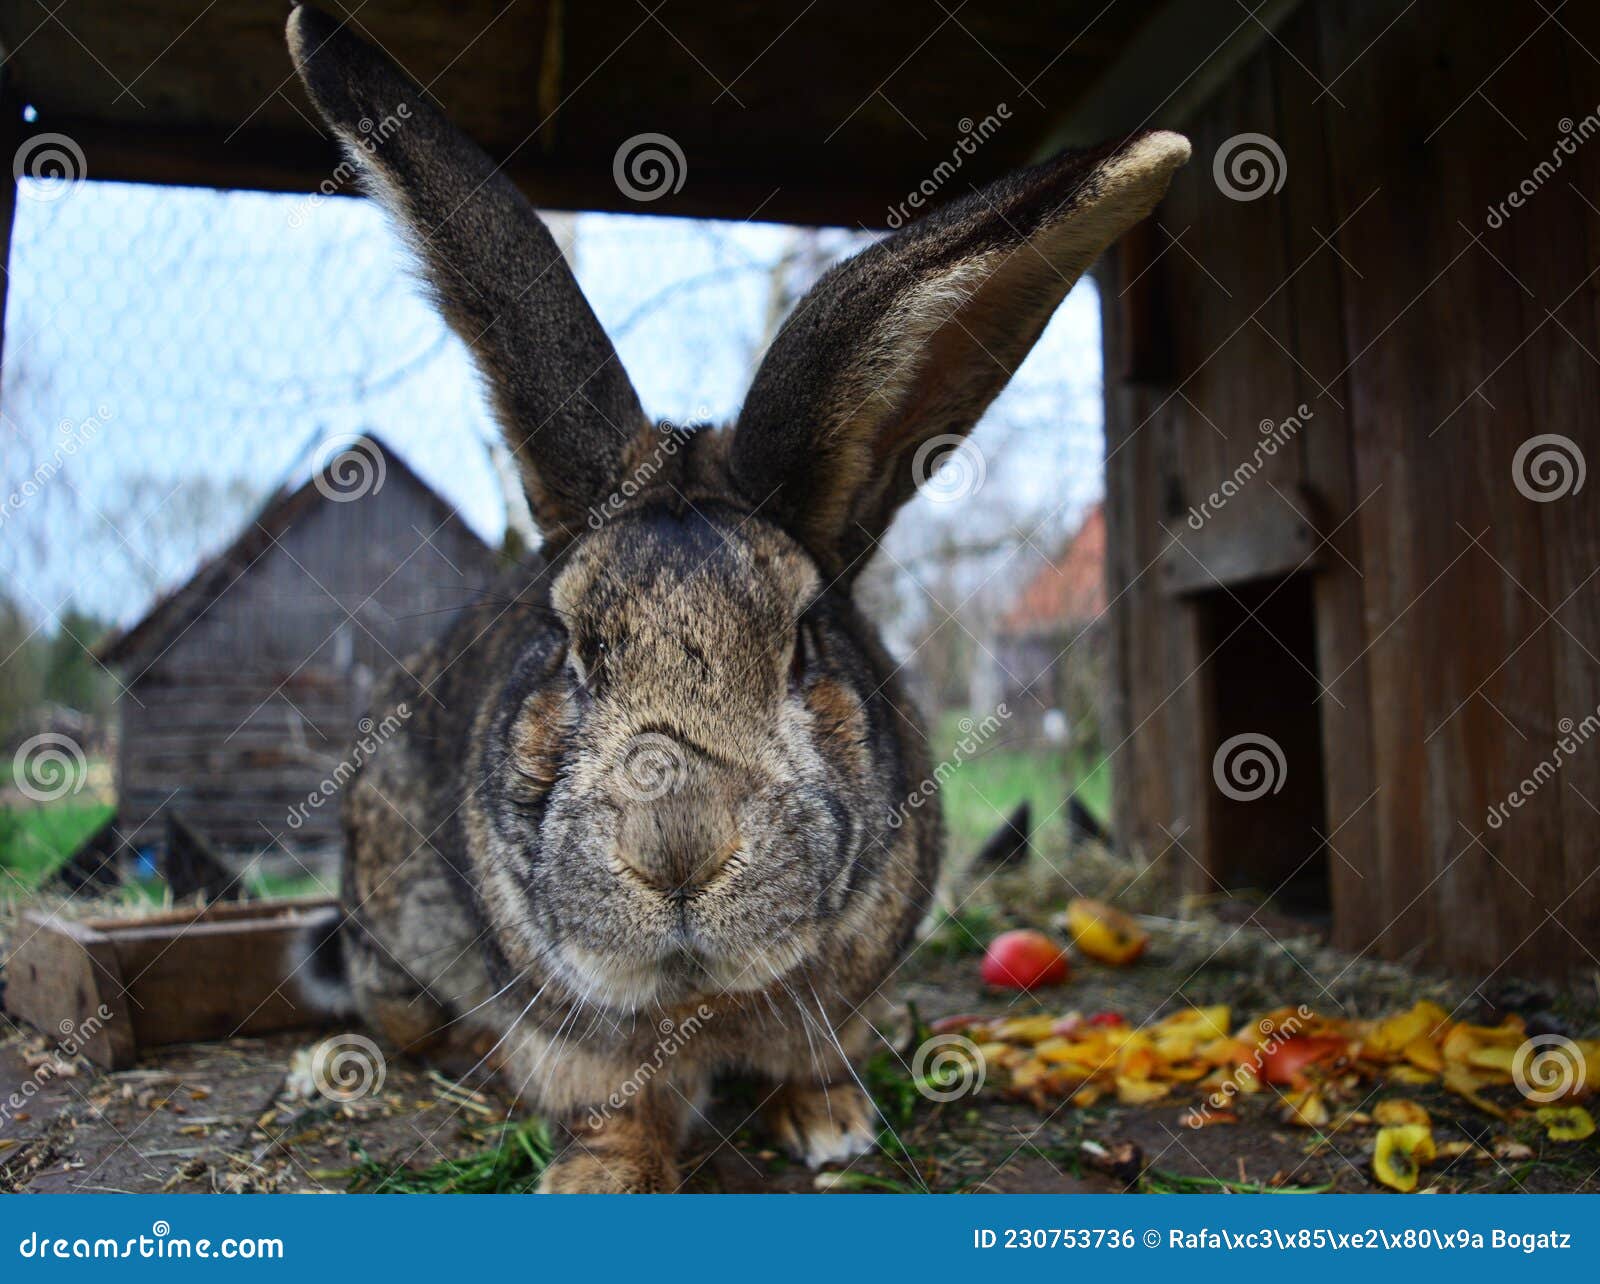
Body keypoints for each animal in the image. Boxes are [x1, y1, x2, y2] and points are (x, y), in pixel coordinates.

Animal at [284, 3, 1188, 1193]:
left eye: (803, 641)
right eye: (570, 644)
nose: (677, 846)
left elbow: (815, 1053)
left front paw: (832, 1124)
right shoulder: (572, 1032)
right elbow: (612, 1102)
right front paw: (600, 1179)